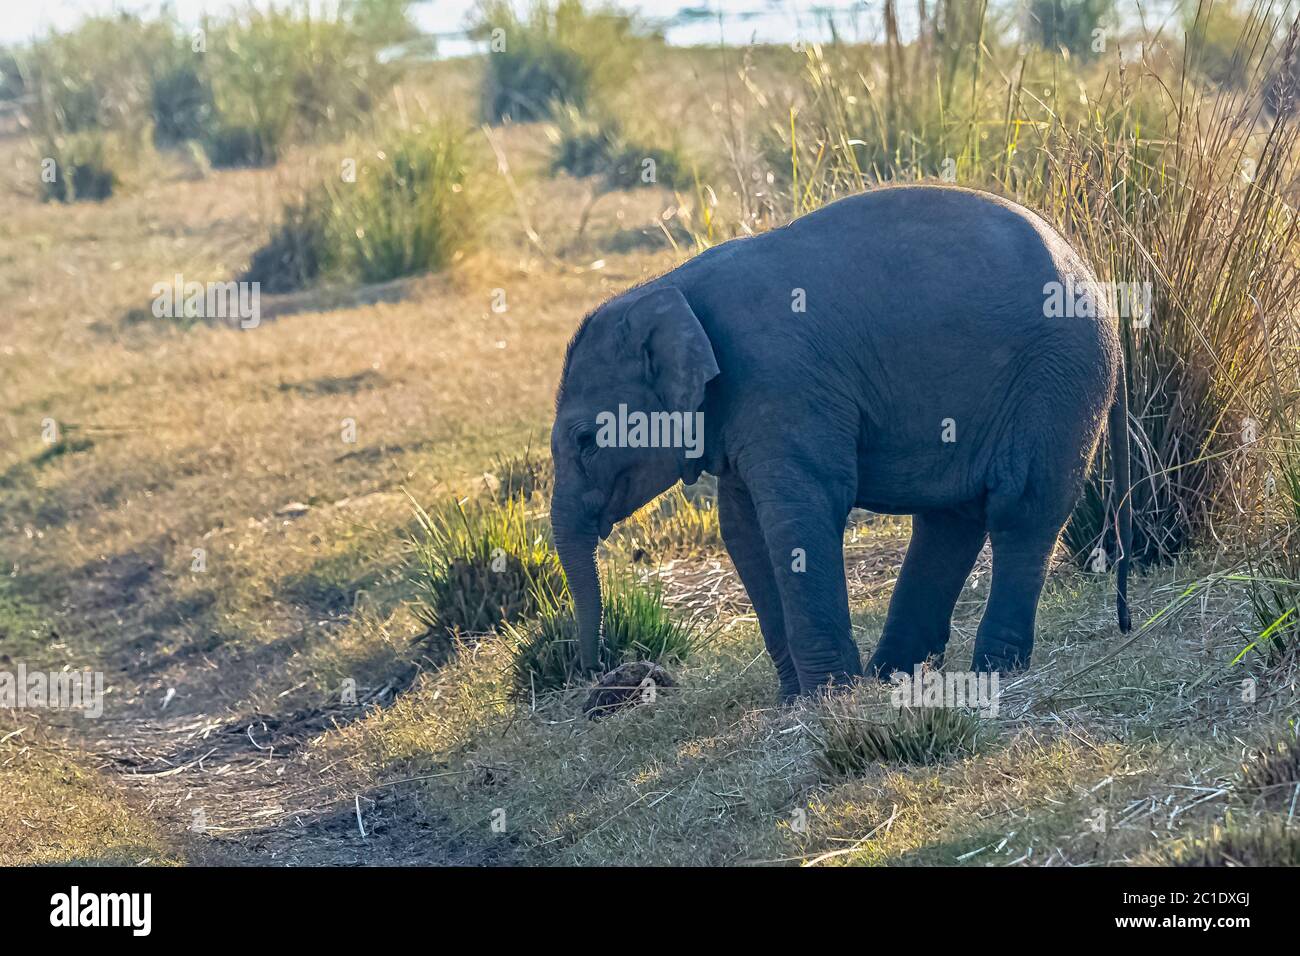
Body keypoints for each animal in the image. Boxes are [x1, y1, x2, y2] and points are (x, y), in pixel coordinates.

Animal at [550, 184, 1131, 701]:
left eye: (586, 440)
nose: (595, 671)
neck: (669, 289)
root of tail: (1097, 281)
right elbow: (743, 529)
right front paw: (796, 701)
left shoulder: (782, 384)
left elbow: (800, 514)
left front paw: (830, 695)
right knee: (951, 519)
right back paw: (892, 676)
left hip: (1056, 381)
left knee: (1020, 509)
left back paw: (992, 670)